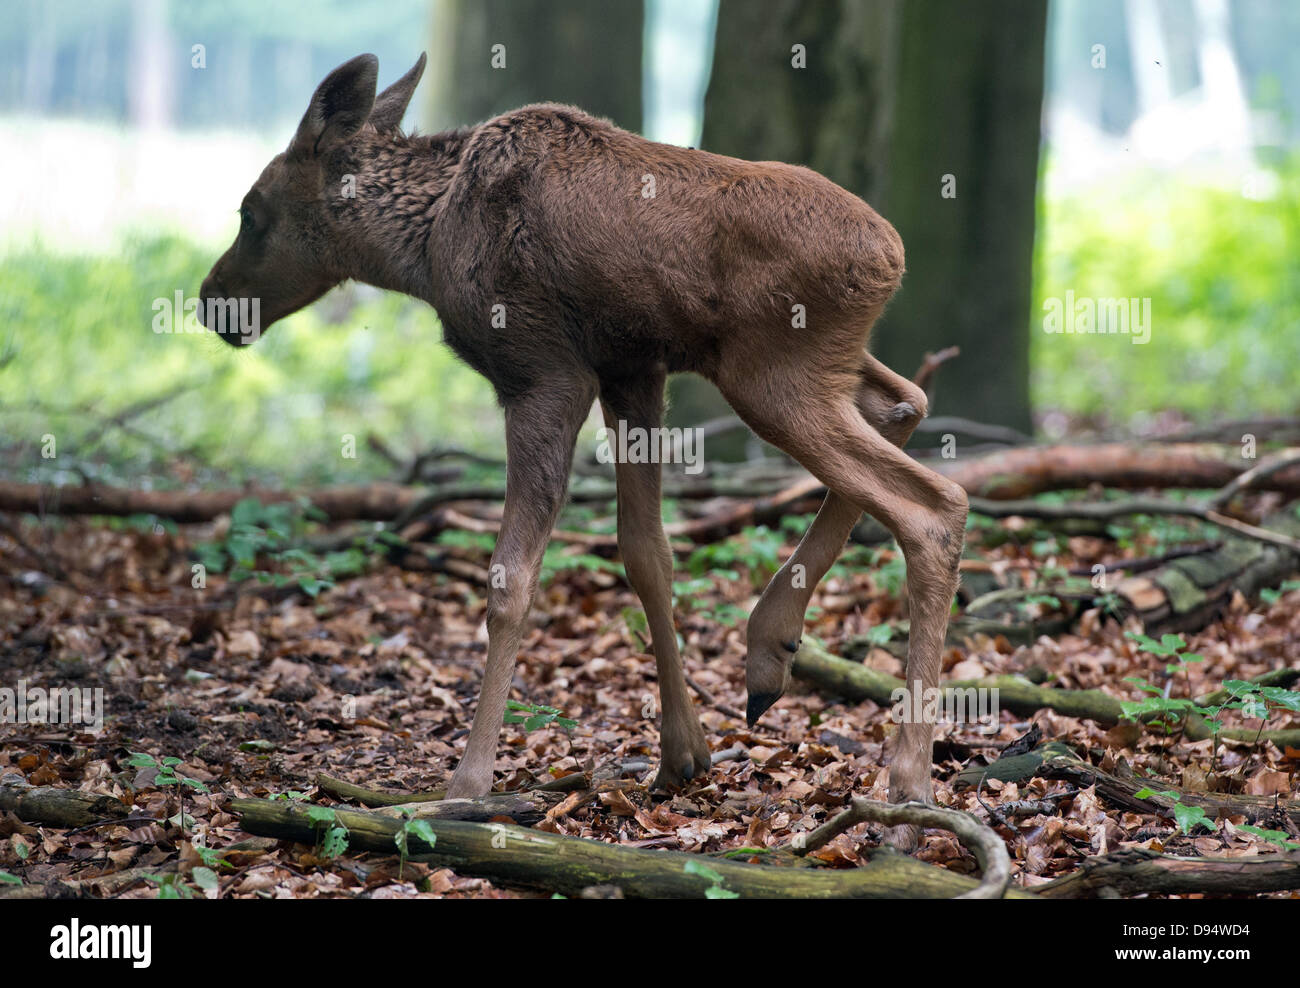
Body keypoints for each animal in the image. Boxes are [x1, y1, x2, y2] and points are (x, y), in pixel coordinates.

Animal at [199, 53, 968, 847]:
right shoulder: (633, 371)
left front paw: (468, 787)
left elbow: (511, 579)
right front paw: (681, 752)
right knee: (909, 400)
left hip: (771, 374)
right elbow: (647, 553)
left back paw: (907, 789)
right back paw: (771, 649)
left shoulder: (543, 373)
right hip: (811, 368)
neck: (424, 244)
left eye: (251, 211)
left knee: (933, 503)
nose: (210, 298)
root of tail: (891, 256)